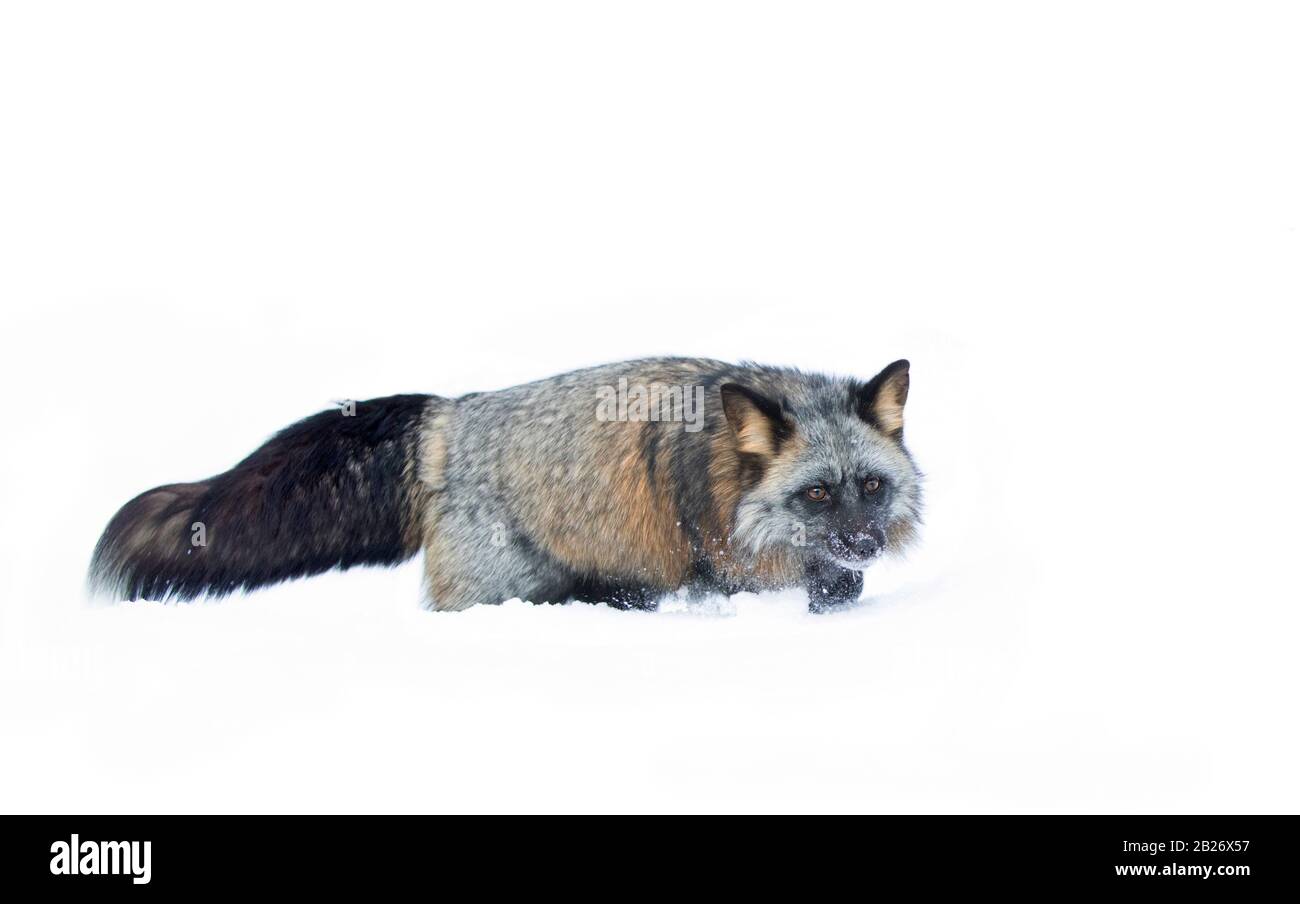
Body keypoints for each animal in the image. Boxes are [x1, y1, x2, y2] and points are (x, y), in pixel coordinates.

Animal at [89, 358, 922, 612]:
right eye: (817, 494)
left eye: (871, 487)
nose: (862, 542)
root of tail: (449, 414)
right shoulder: (727, 564)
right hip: (505, 584)